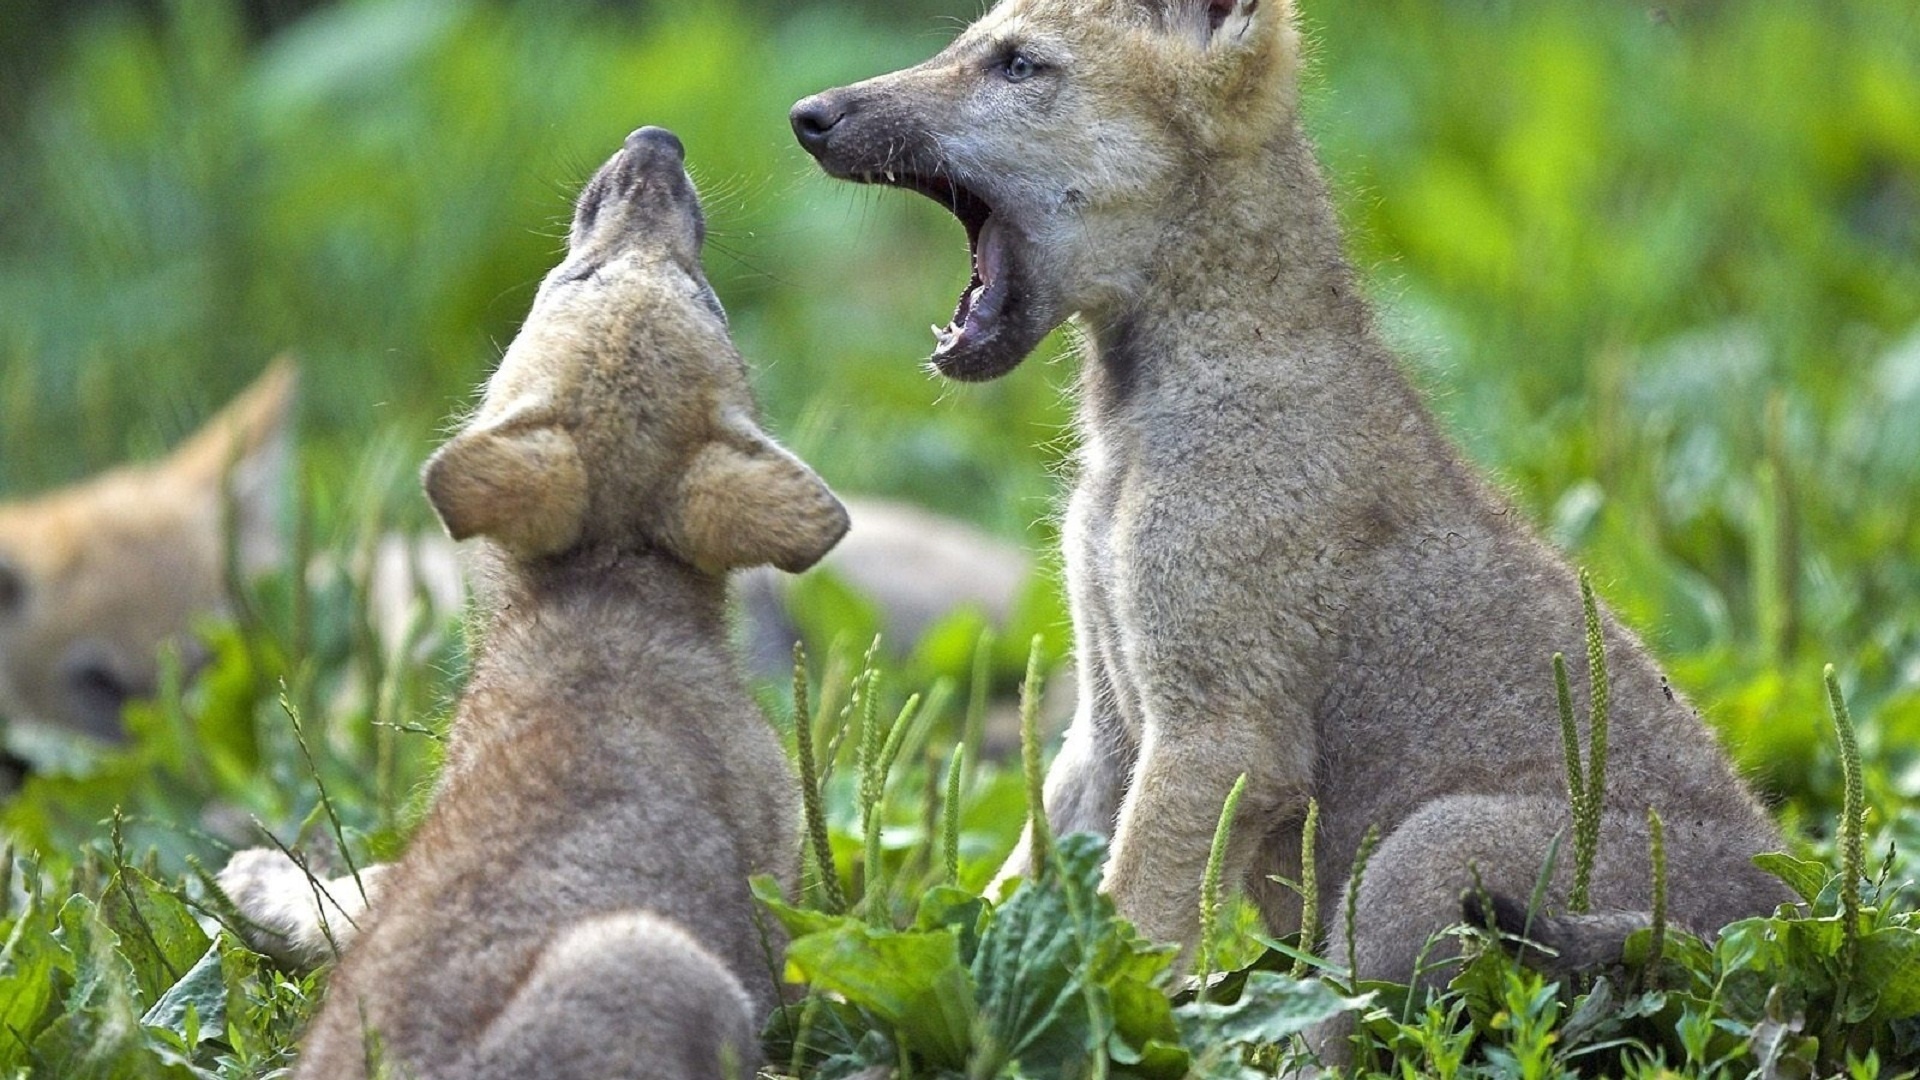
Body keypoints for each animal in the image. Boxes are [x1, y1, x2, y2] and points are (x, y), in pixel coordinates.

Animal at [224, 127, 847, 1080]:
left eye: (703, 295)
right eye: (575, 278)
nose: (656, 144)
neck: (610, 586)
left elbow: (352, 894)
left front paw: (255, 881)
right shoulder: (783, 905)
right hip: (662, 959)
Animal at [790, 0, 1789, 1040]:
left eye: (1019, 64)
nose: (807, 115)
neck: (1134, 429)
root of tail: (1770, 925)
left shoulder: (1220, 733)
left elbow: (1128, 923)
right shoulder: (1107, 721)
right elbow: (1020, 886)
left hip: (1425, 851)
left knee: (1342, 1018)